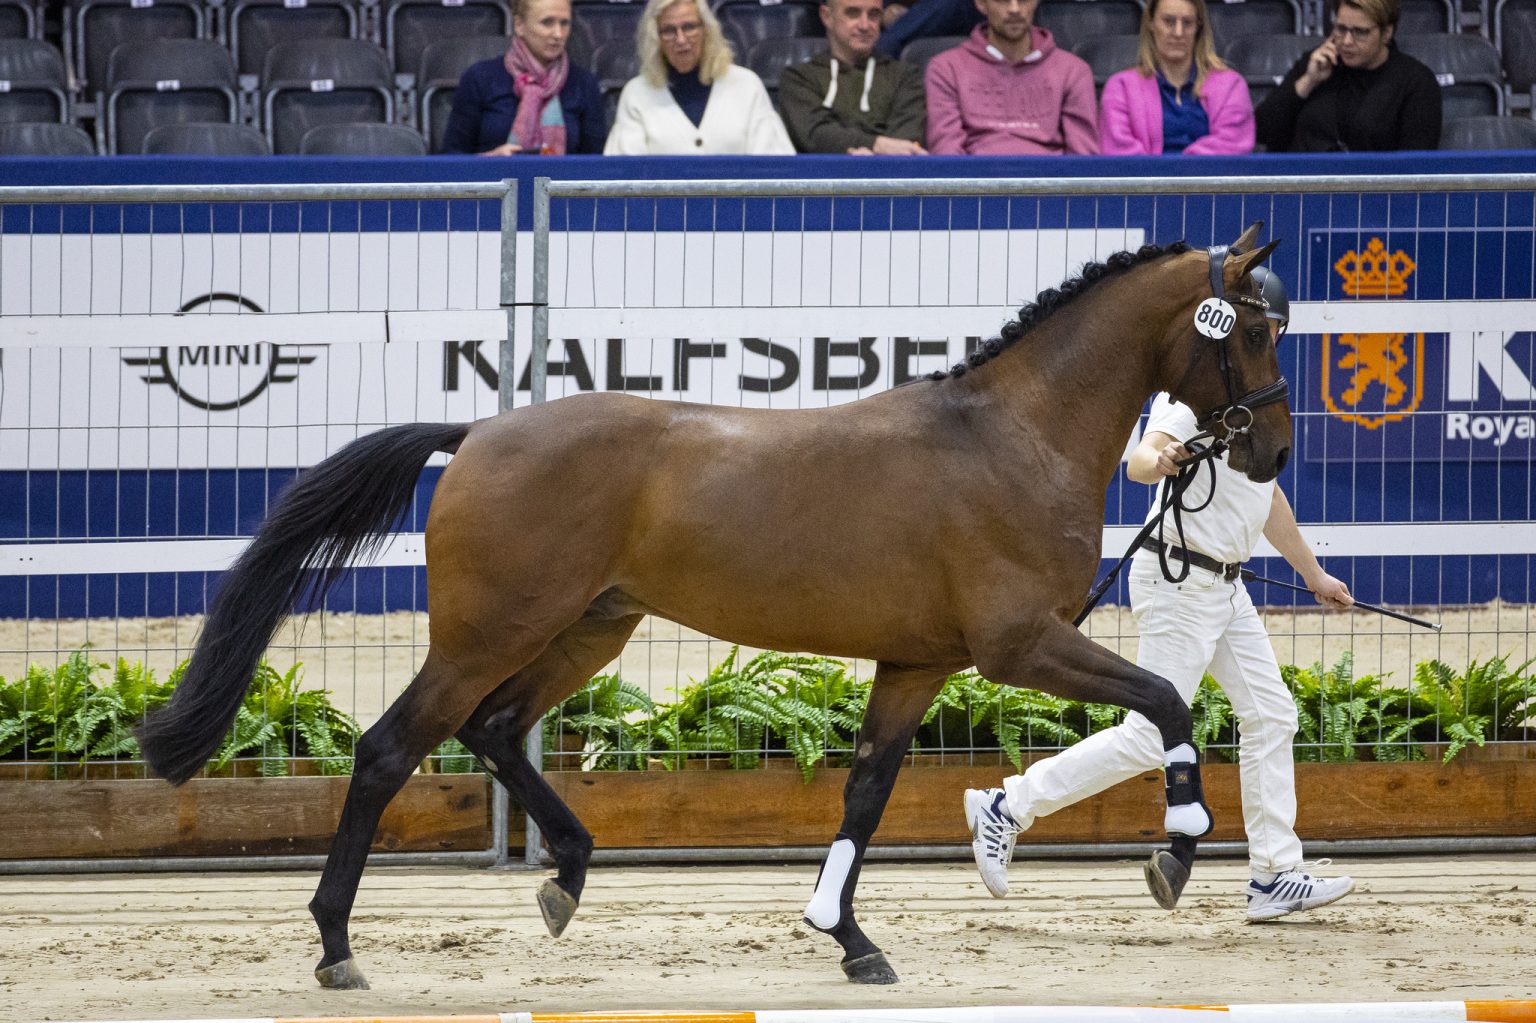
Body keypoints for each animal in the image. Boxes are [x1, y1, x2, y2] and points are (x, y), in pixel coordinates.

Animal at [137, 223, 1289, 989]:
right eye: (1256, 331)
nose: (1273, 451)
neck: (1010, 436)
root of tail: (479, 434)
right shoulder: (1018, 647)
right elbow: (1168, 704)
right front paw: (1178, 848)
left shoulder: (919, 664)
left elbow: (866, 793)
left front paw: (846, 935)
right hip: (492, 632)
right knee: (390, 748)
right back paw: (337, 945)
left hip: (588, 629)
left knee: (496, 728)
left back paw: (567, 874)